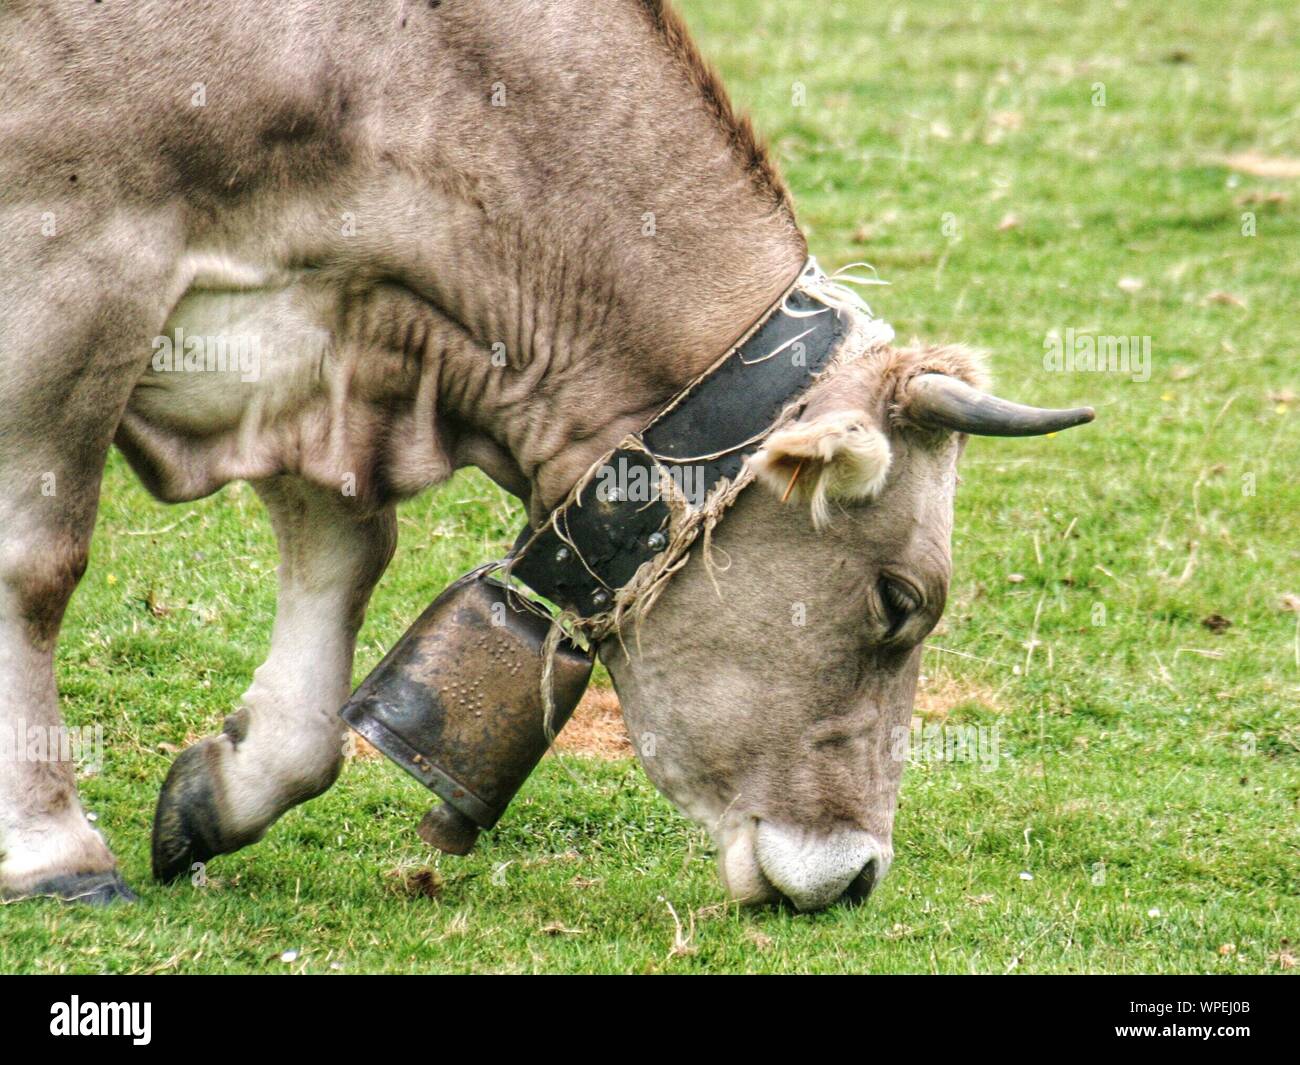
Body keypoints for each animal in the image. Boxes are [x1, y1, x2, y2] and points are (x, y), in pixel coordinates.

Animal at [0, 0, 1092, 911]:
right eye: (902, 602)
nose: (860, 874)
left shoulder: (318, 350)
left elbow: (346, 559)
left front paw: (227, 789)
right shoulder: (71, 257)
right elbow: (39, 566)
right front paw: (55, 850)